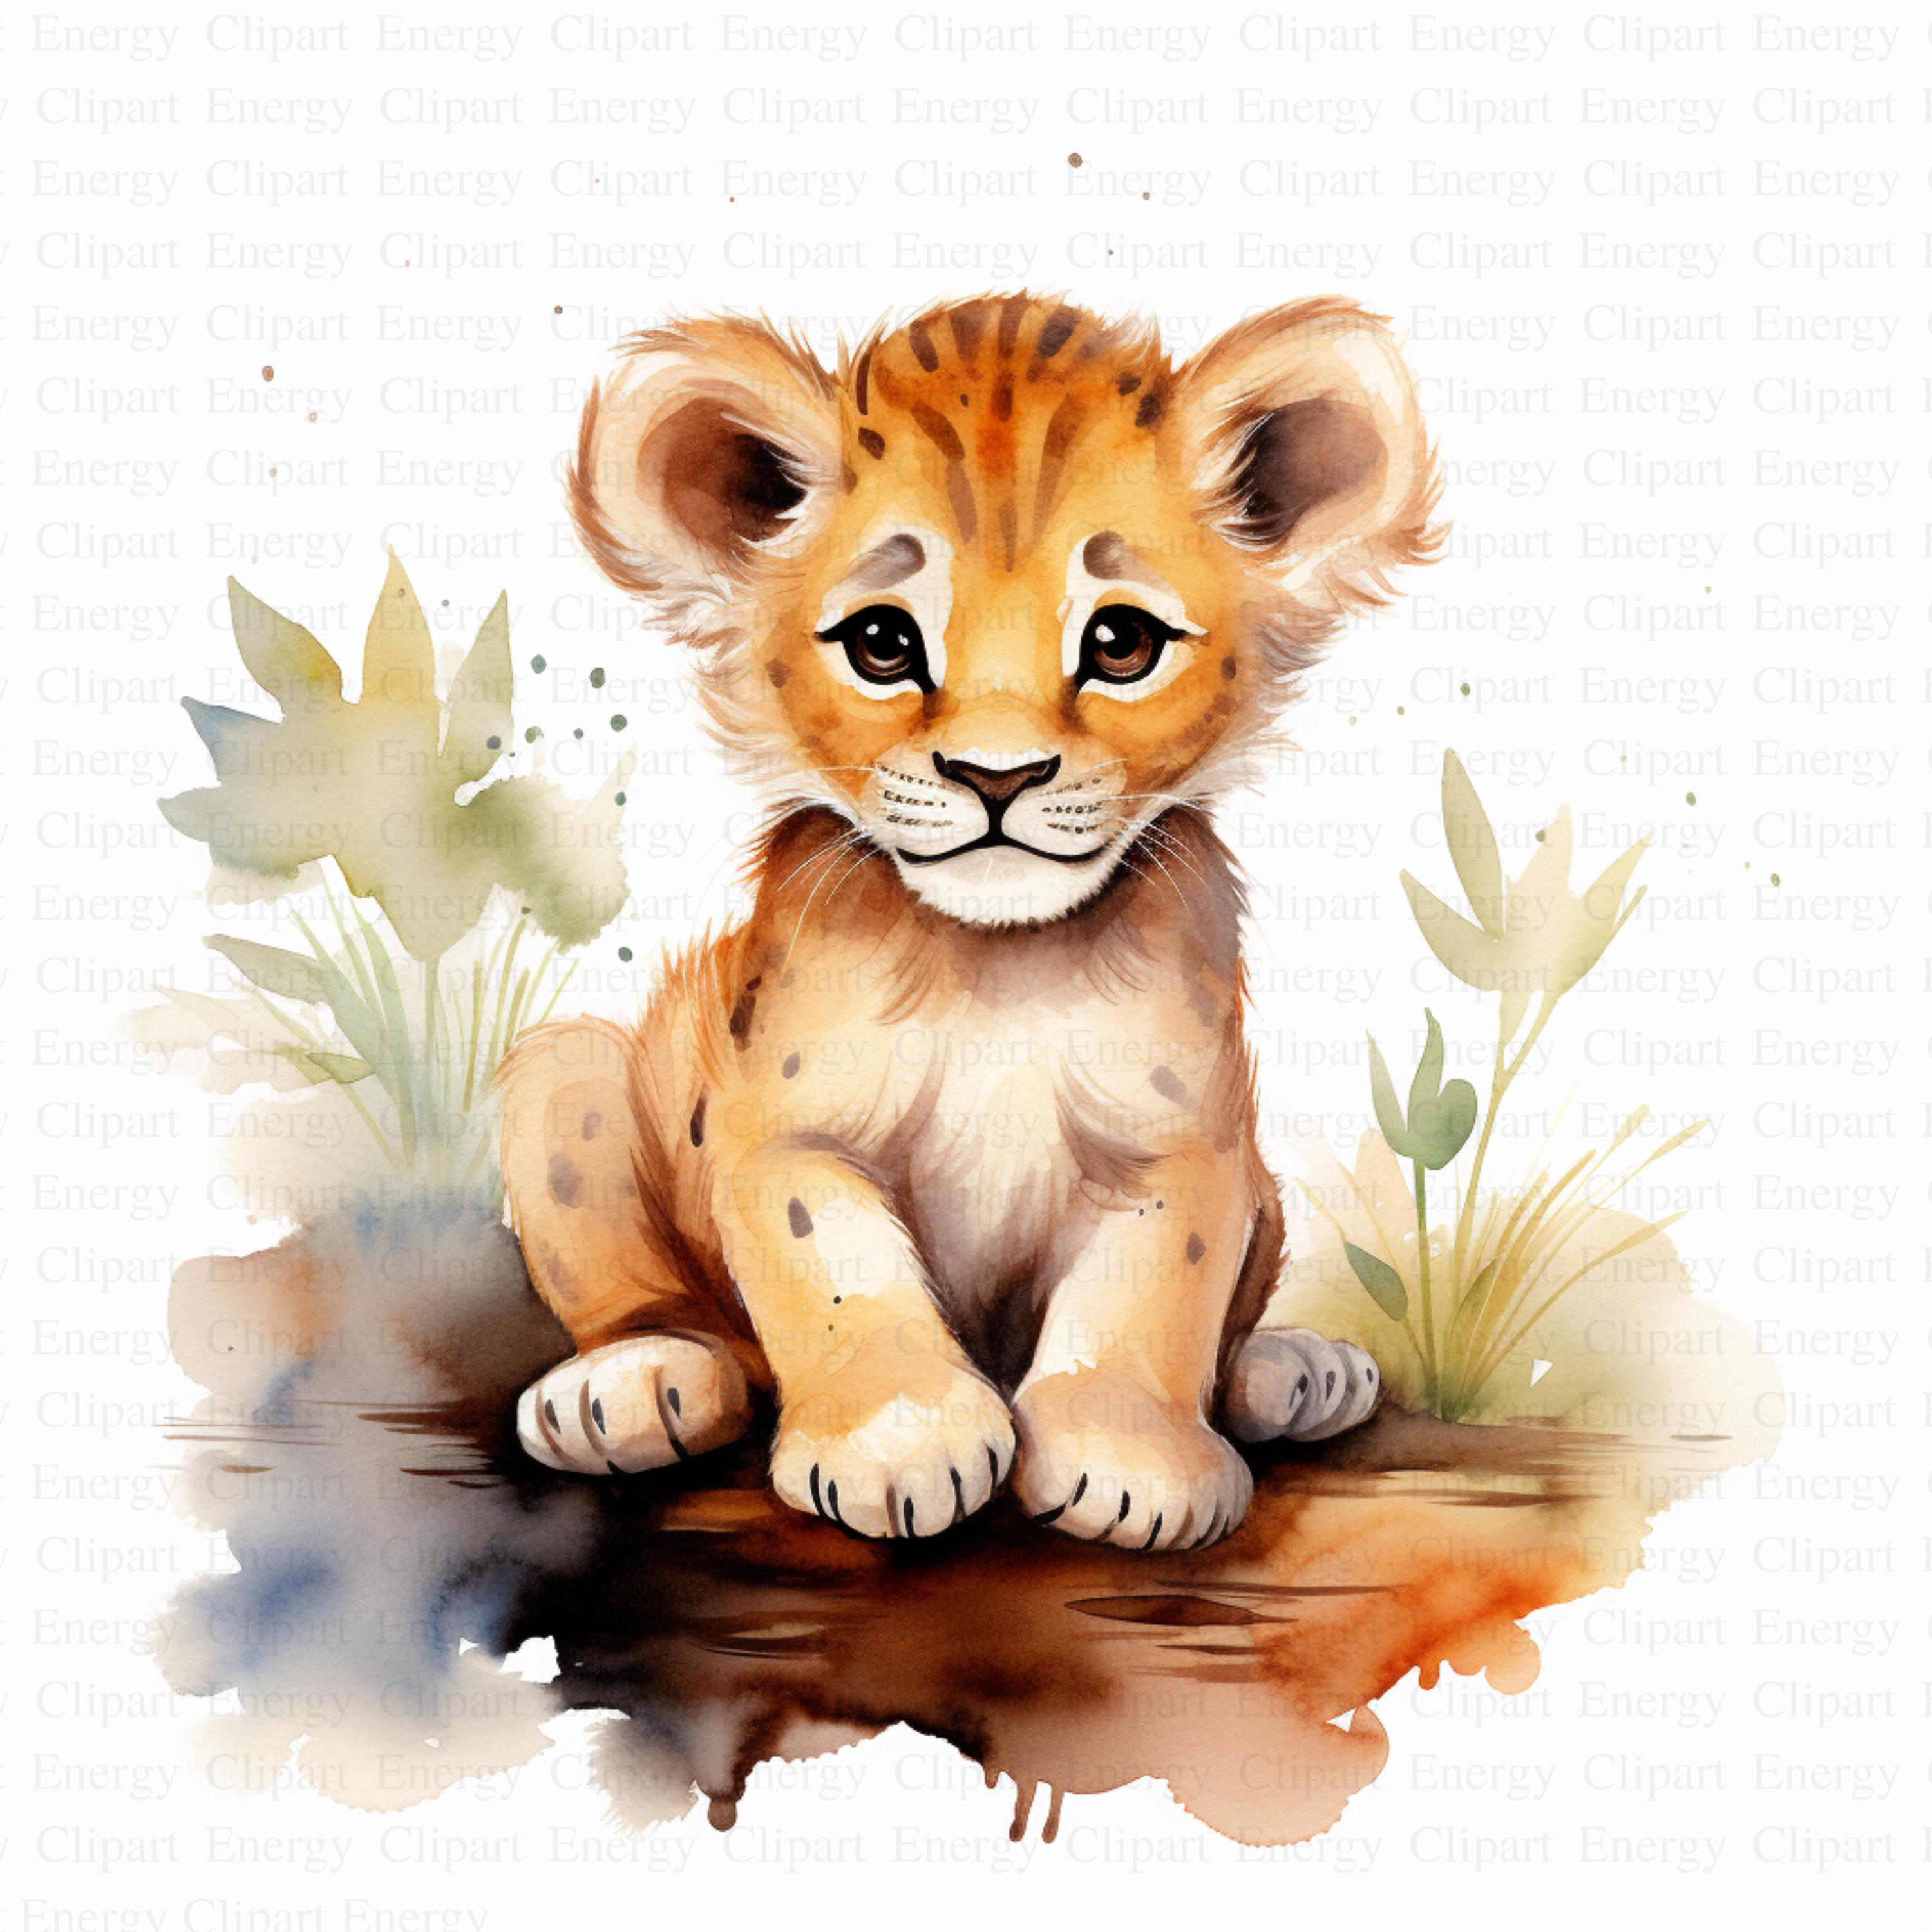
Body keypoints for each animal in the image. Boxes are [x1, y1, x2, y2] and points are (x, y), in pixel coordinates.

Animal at [495, 293, 1440, 1548]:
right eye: (884, 643)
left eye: (1121, 643)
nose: (999, 777)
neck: (1000, 967)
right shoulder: (786, 1132)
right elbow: (839, 1279)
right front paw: (899, 1443)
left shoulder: (1186, 1138)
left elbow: (1152, 1291)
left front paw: (1132, 1460)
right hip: (565, 1072)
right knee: (671, 1315)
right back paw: (627, 1384)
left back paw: (1295, 1373)